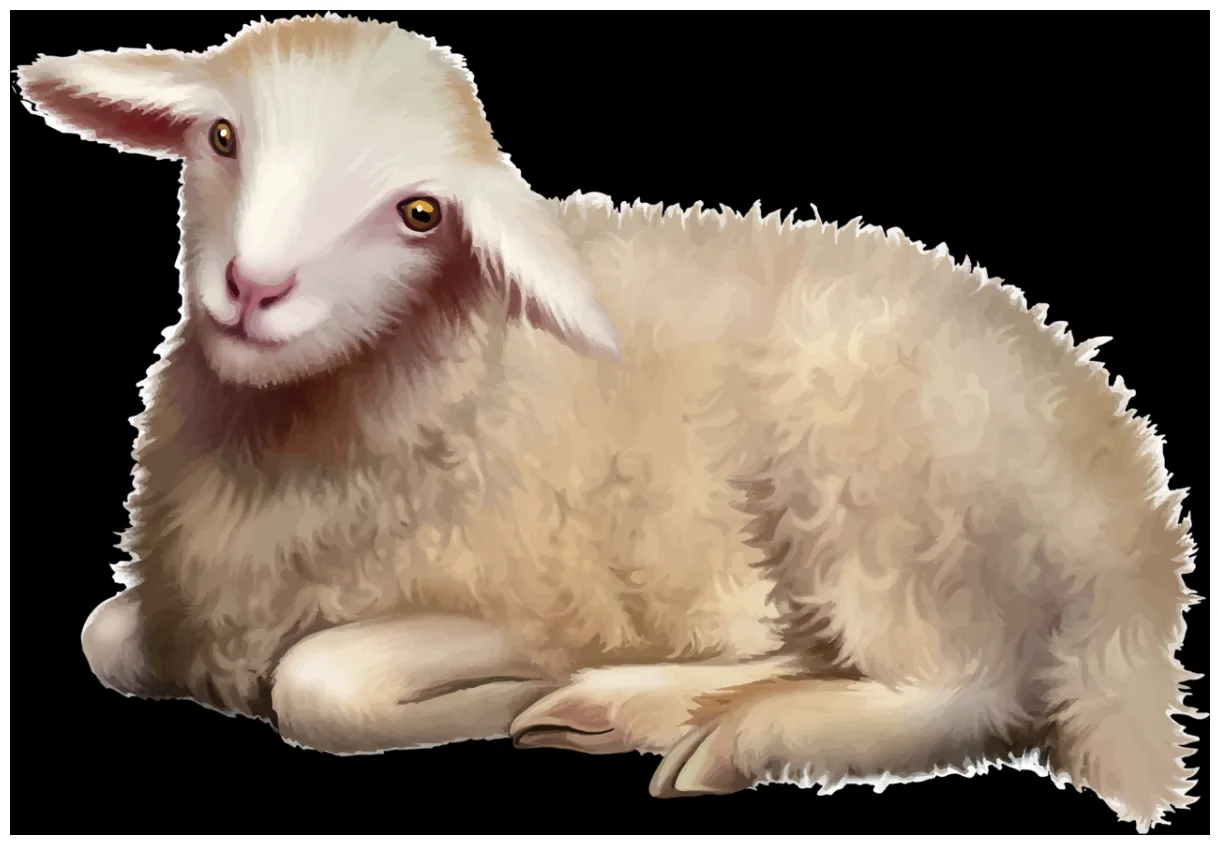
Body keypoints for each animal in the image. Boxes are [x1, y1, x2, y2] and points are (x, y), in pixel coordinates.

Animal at [16, 14, 1201, 832]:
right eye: (222, 136)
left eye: (420, 212)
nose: (252, 288)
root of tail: (1131, 540)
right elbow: (104, 637)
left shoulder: (525, 604)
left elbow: (319, 683)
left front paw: (495, 695)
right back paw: (649, 706)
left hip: (884, 501)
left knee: (965, 688)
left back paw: (699, 721)